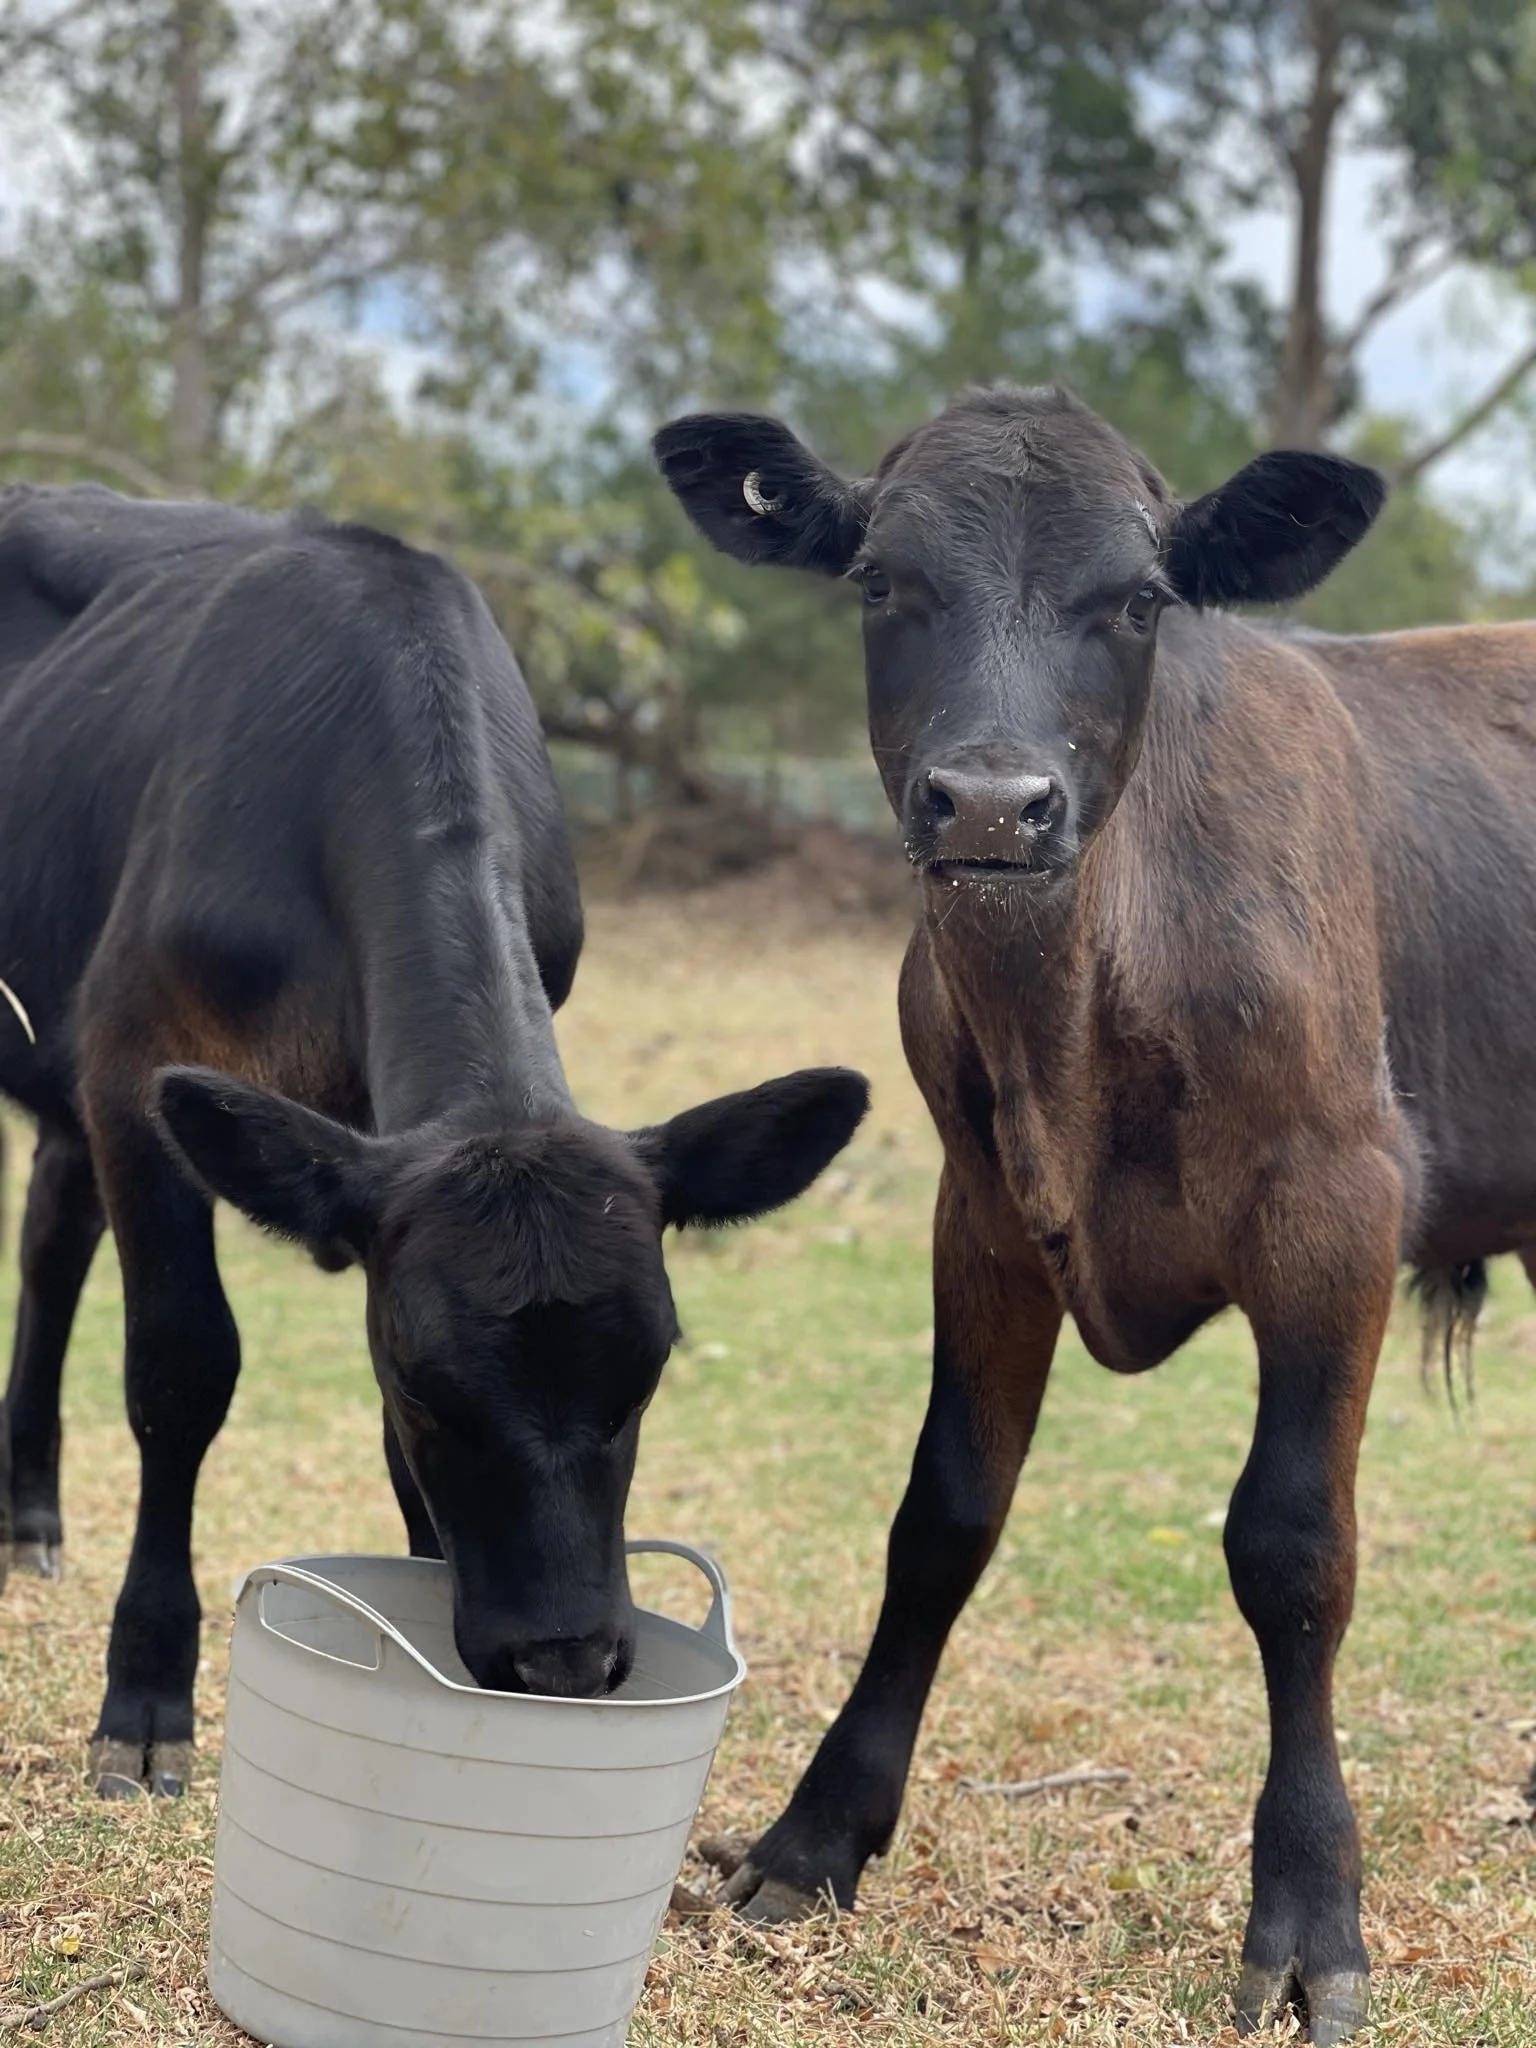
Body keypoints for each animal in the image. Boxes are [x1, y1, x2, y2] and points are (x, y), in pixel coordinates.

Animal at [0, 481, 868, 1797]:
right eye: (428, 1376)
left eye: (651, 1366)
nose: (563, 1657)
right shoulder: (134, 1059)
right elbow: (180, 1366)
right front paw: (145, 1691)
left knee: (52, 1231)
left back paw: (32, 1511)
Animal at [653, 381, 1530, 2044]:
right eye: (881, 581)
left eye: (1138, 600)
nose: (993, 805)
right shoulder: (982, 1213)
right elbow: (943, 1512)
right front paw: (815, 1836)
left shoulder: (1339, 1201)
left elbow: (1293, 1545)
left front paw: (1308, 1915)